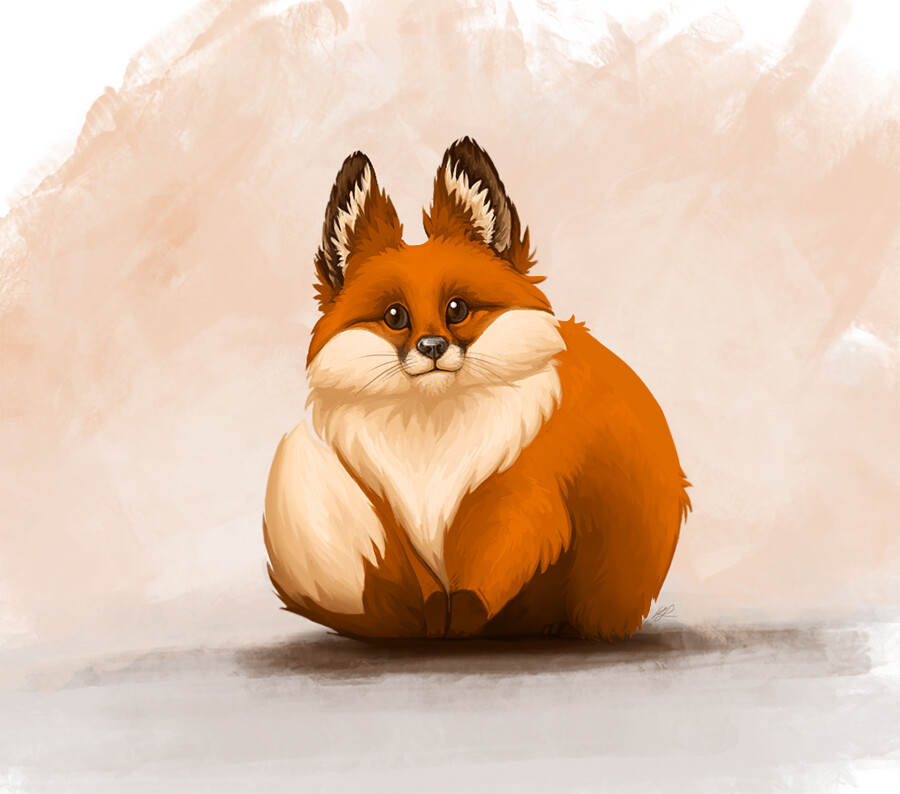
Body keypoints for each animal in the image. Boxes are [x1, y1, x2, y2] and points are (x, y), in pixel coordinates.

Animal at [264, 137, 690, 641]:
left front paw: (457, 625)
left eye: (457, 309)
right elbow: (428, 595)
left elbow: (477, 587)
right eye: (395, 316)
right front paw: (431, 625)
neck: (432, 435)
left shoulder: (520, 501)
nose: (432, 347)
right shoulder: (396, 510)